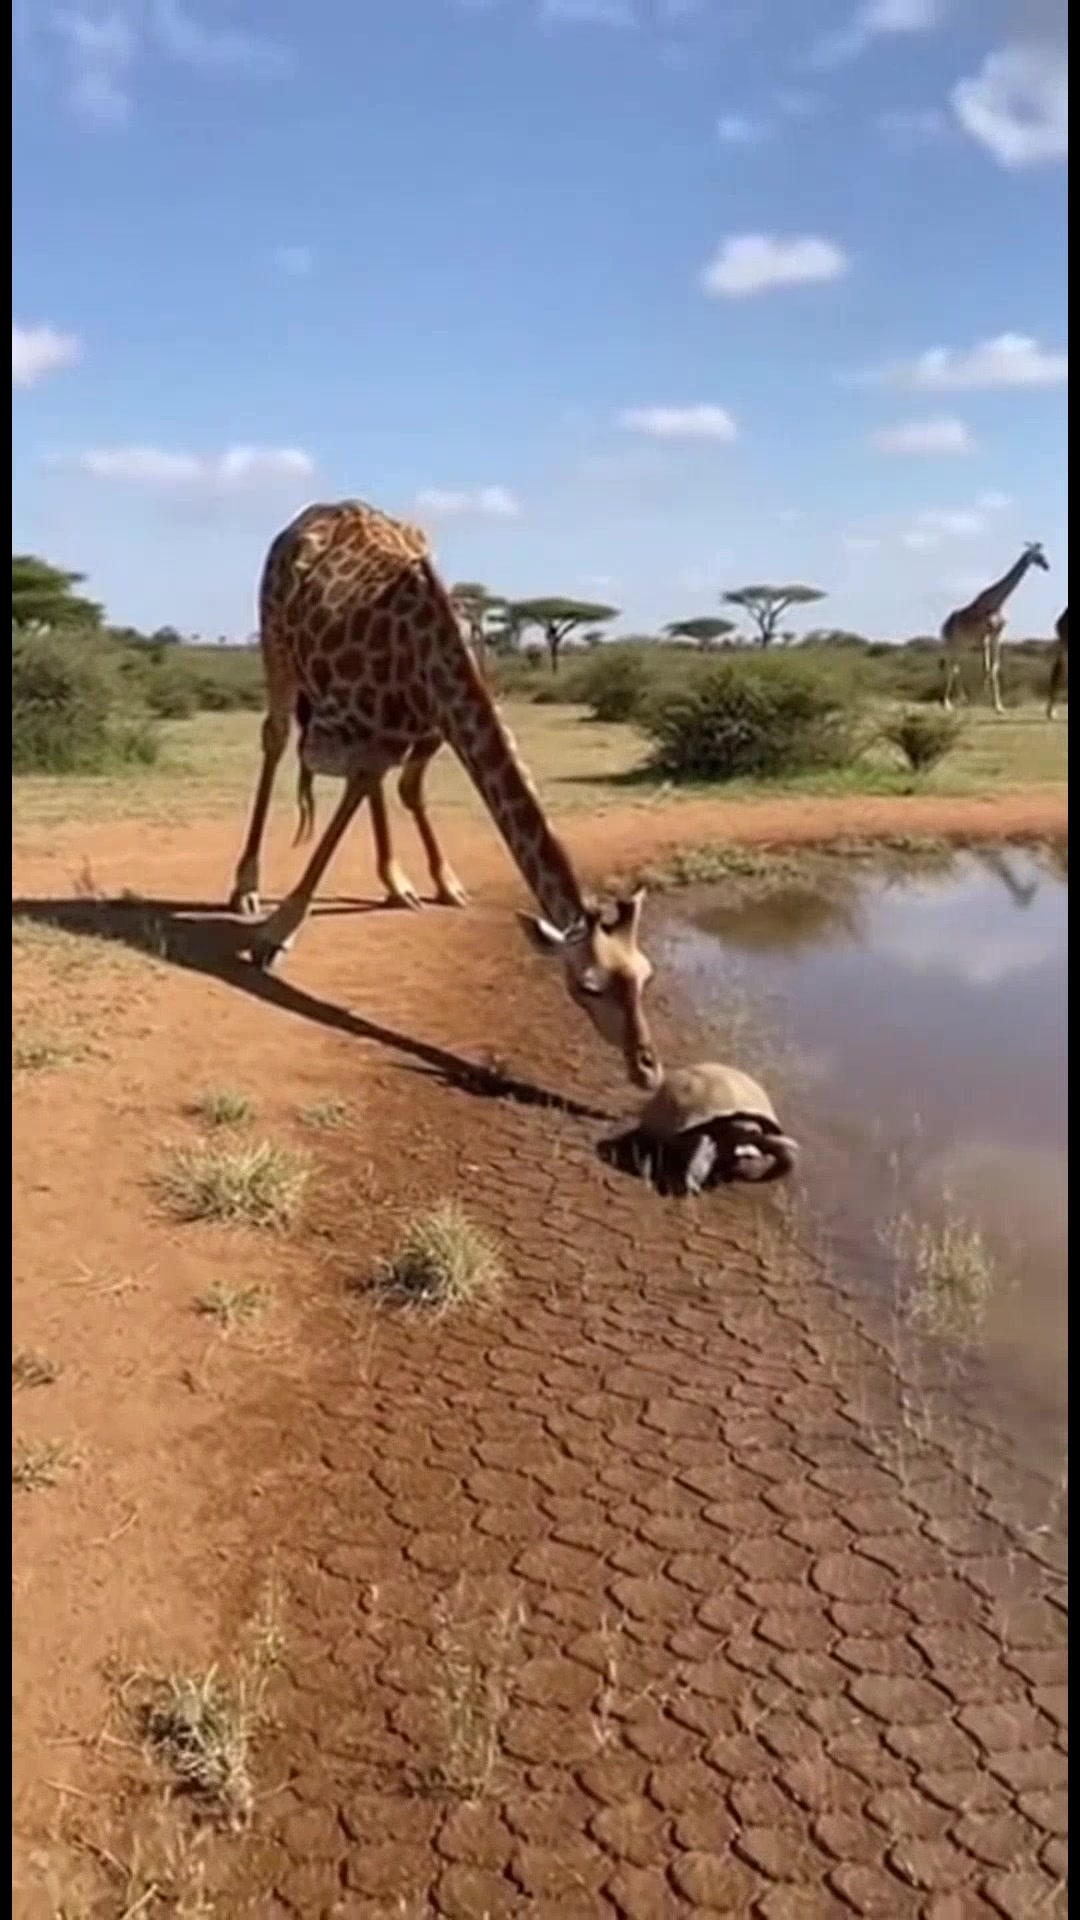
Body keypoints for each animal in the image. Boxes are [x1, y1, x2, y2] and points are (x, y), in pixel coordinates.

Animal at [228, 500, 663, 1090]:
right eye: (587, 986)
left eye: (645, 976)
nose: (648, 1069)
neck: (432, 656)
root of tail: (304, 519)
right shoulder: (346, 726)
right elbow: (351, 788)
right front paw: (276, 933)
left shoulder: (429, 727)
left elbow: (392, 786)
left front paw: (435, 882)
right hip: (276, 643)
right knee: (274, 738)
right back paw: (246, 887)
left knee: (376, 782)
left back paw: (399, 884)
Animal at [939, 542, 1050, 715]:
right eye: (1036, 555)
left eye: (1042, 554)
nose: (1046, 566)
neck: (997, 603)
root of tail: (944, 625)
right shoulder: (985, 636)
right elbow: (987, 669)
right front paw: (987, 699)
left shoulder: (997, 635)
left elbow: (994, 668)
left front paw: (998, 706)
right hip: (953, 642)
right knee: (951, 667)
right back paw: (947, 703)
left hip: (964, 645)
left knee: (956, 667)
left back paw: (962, 699)